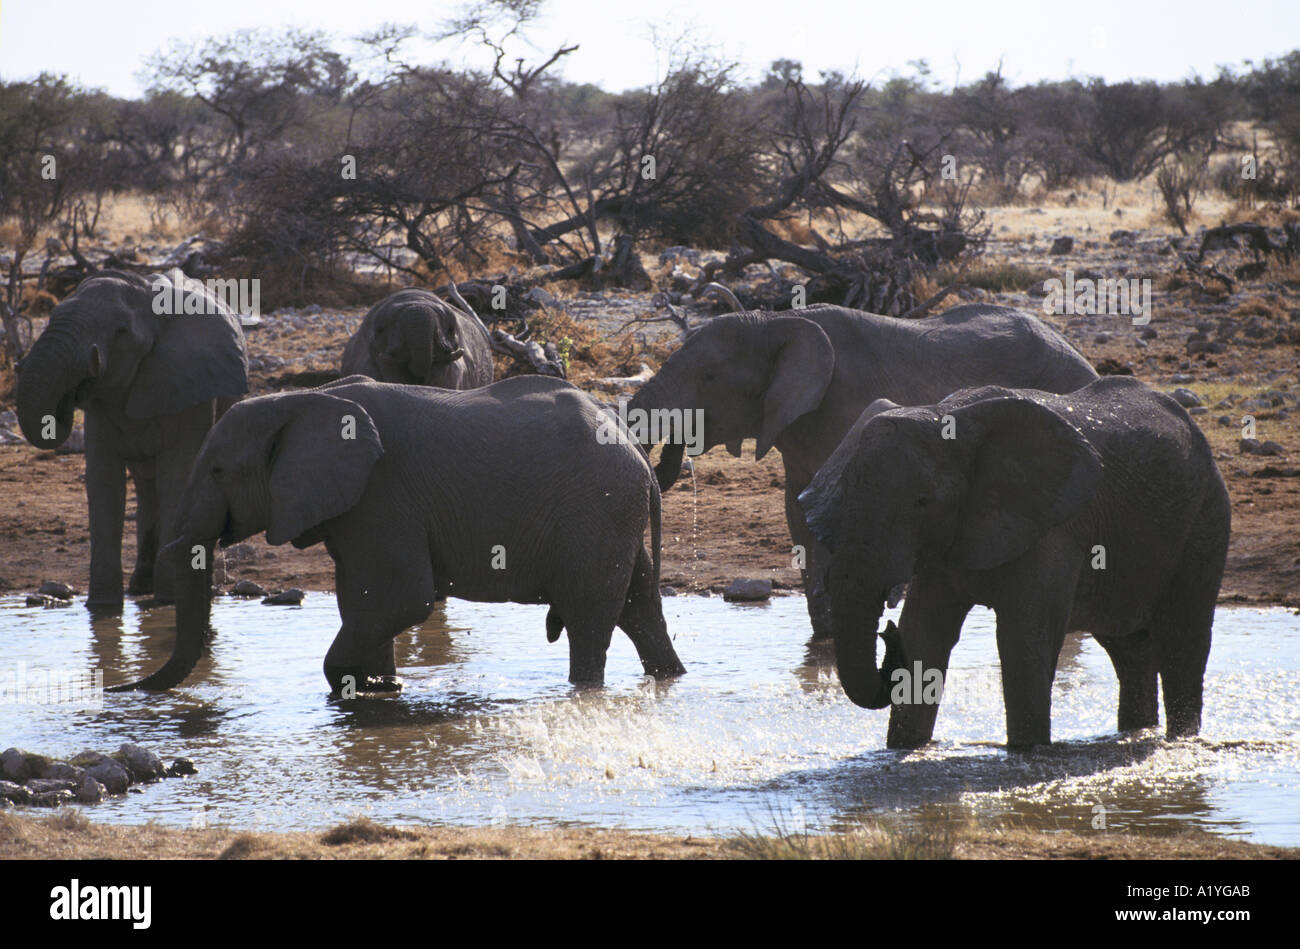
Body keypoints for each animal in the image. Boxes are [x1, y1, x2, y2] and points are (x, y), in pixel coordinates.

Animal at [15, 269, 248, 611]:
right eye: (53, 316)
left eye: (121, 332)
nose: (71, 392)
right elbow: (103, 479)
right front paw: (102, 609)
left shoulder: (189, 386)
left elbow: (178, 474)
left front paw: (169, 600)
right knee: (145, 485)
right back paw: (140, 586)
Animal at [107, 374, 685, 696]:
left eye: (218, 472)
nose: (119, 690)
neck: (302, 400)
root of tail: (637, 451)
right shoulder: (354, 505)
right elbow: (360, 598)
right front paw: (384, 686)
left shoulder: (381, 494)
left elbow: (400, 598)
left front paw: (356, 687)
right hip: (613, 515)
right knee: (639, 607)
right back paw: (670, 679)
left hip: (596, 512)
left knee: (590, 619)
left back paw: (585, 691)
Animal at [798, 376, 1231, 748]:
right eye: (844, 492)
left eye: (921, 502)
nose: (886, 631)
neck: (947, 415)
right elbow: (924, 633)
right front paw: (905, 750)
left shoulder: (1054, 525)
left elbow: (1022, 636)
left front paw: (1027, 751)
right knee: (1128, 648)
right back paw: (1134, 734)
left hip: (1206, 517)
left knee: (1181, 641)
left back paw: (1179, 741)